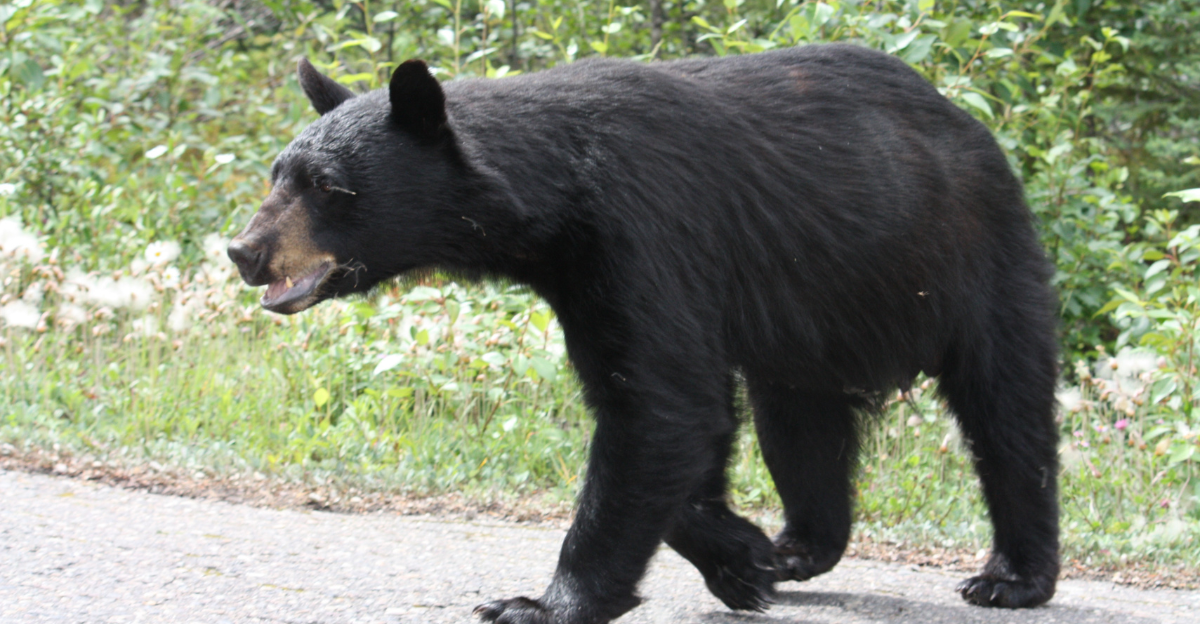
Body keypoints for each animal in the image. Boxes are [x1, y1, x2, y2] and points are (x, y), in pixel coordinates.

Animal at [227, 44, 1060, 623]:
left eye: (329, 187)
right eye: (276, 174)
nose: (244, 251)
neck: (556, 202)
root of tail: (974, 126)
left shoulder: (644, 235)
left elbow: (662, 407)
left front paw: (537, 603)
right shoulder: (584, 277)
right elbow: (675, 411)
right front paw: (741, 557)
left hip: (976, 265)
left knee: (1008, 414)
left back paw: (1011, 577)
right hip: (808, 327)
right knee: (799, 426)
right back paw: (797, 548)